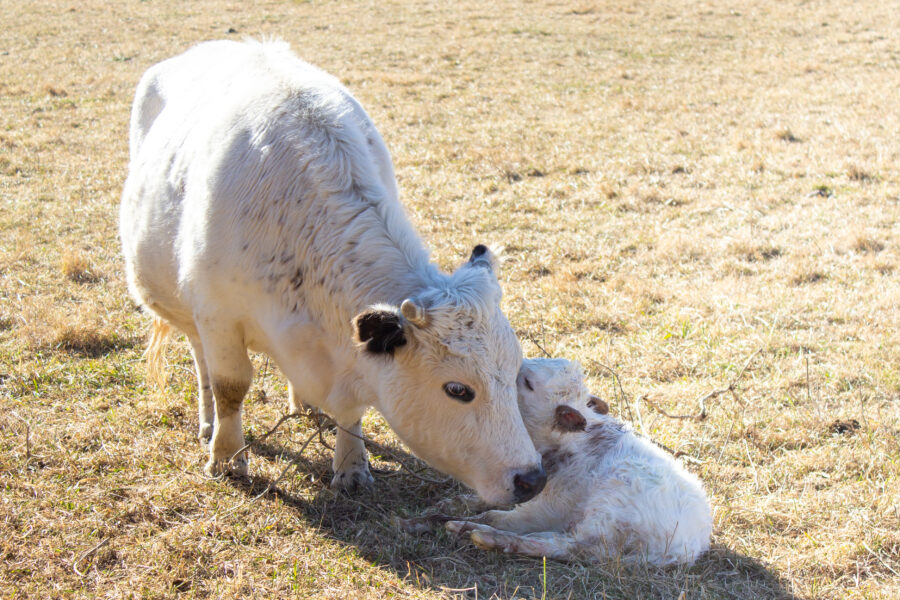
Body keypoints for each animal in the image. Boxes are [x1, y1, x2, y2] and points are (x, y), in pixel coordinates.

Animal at [119, 39, 546, 506]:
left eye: (516, 372)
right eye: (457, 390)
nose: (532, 479)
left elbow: (351, 409)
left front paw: (352, 466)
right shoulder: (218, 318)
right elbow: (231, 385)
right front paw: (228, 459)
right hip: (188, 314)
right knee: (202, 364)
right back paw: (210, 422)